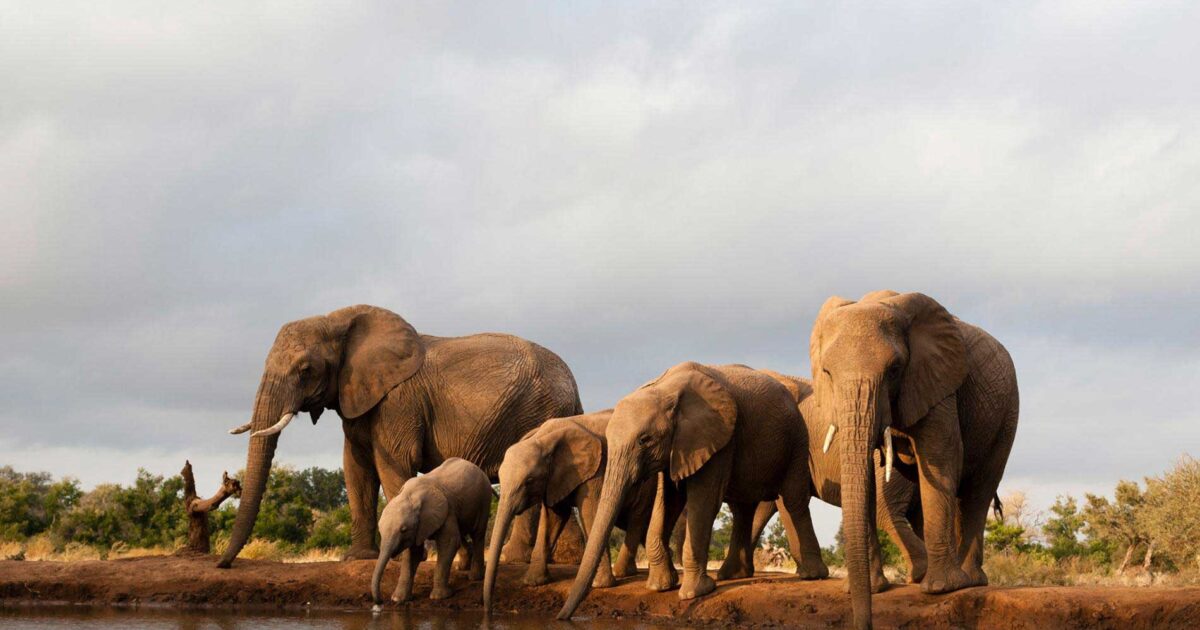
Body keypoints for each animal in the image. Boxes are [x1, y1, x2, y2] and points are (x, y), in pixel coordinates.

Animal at [217, 304, 582, 568]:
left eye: (305, 370)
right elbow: (357, 469)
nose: (223, 564)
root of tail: (575, 386)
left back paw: (512, 559)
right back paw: (565, 560)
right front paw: (358, 558)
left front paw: (408, 555)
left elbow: (392, 465)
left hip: (537, 413)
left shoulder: (399, 404)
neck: (339, 321)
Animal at [370, 457, 492, 606]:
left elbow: (449, 543)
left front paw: (440, 597)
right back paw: (462, 568)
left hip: (484, 499)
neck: (410, 495)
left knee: (478, 534)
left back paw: (475, 577)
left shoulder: (447, 511)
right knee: (462, 533)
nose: (381, 601)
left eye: (403, 530)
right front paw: (398, 599)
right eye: (380, 531)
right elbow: (413, 553)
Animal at [483, 409, 656, 612]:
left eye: (529, 481)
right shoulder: (556, 478)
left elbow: (591, 513)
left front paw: (600, 585)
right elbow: (554, 517)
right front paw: (533, 582)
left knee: (637, 518)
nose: (489, 609)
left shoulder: (595, 471)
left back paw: (625, 572)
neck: (544, 438)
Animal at [557, 362, 814, 620]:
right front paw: (661, 586)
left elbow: (704, 500)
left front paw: (695, 593)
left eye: (644, 440)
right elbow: (668, 500)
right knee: (742, 508)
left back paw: (811, 575)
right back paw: (733, 576)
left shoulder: (717, 438)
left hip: (797, 439)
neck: (665, 390)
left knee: (792, 500)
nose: (562, 617)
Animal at [810, 291, 1018, 630]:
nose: (864, 624)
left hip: (1008, 412)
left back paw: (967, 580)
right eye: (827, 373)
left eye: (895, 369)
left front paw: (941, 589)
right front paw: (873, 588)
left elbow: (941, 458)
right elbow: (867, 474)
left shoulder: (938, 384)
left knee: (979, 488)